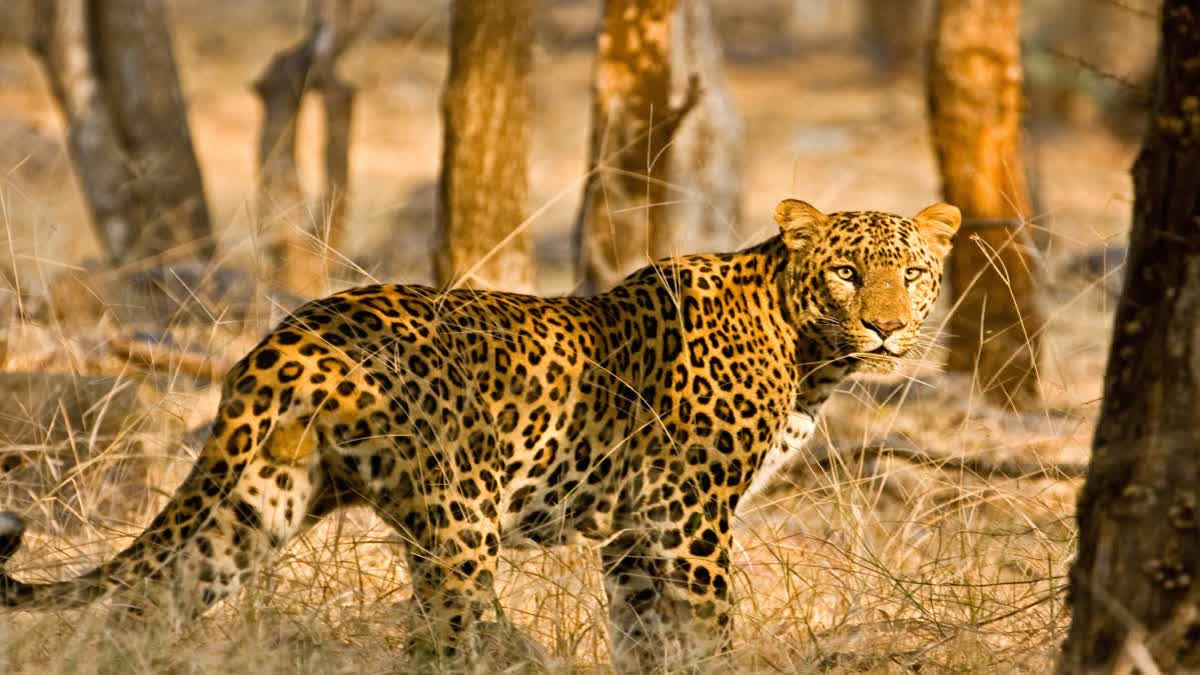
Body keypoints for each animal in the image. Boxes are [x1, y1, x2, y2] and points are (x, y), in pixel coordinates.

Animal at [0, 199, 960, 672]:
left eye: (912, 273)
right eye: (847, 273)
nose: (885, 328)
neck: (810, 355)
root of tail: (293, 332)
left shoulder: (632, 530)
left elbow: (642, 631)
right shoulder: (685, 509)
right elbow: (708, 624)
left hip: (264, 496)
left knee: (150, 602)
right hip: (460, 508)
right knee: (442, 631)